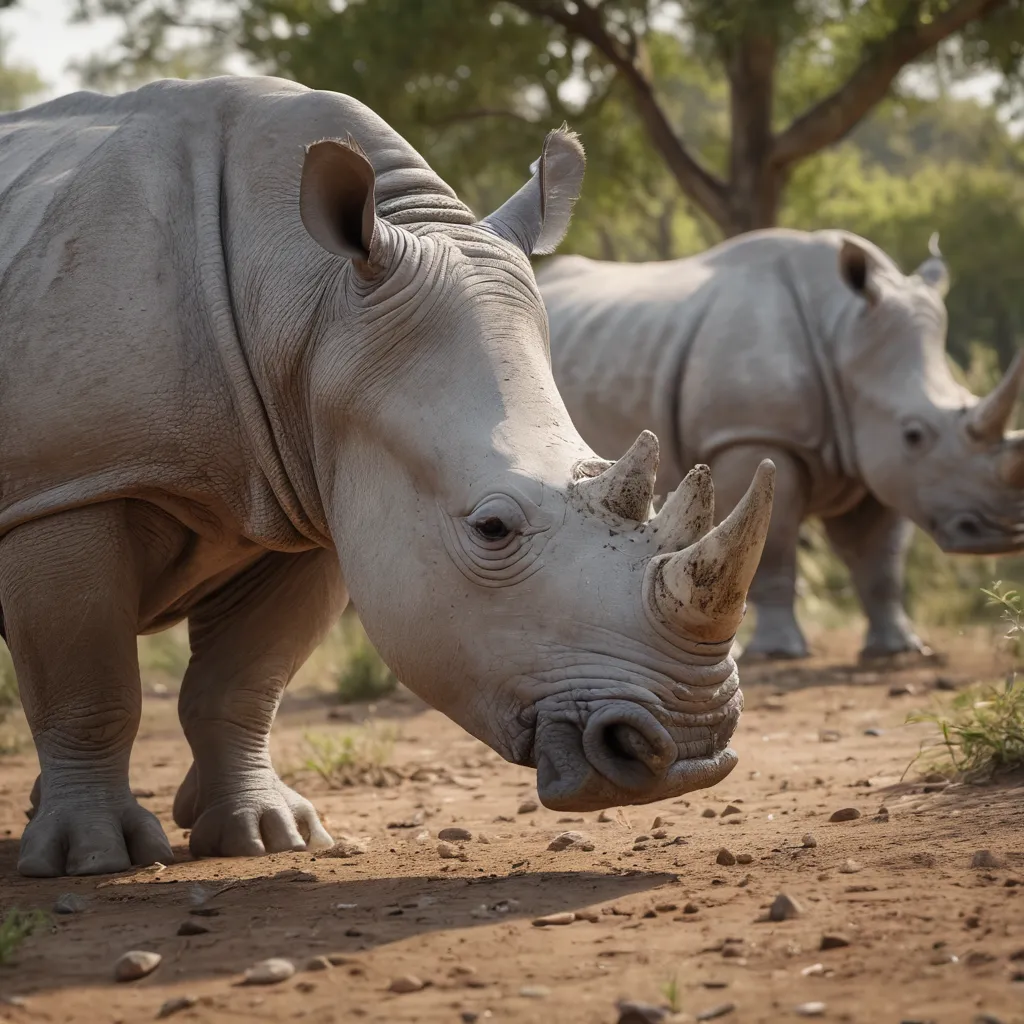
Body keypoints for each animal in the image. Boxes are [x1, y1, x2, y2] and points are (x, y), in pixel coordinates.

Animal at [0, 76, 775, 877]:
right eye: (493, 528)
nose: (691, 747)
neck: (311, 302)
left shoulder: (309, 497)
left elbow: (244, 680)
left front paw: (268, 836)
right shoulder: (68, 487)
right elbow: (89, 680)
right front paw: (93, 858)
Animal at [540, 229, 1024, 661]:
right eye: (914, 434)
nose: (1000, 533)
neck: (844, 331)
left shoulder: (872, 456)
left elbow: (879, 557)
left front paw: (898, 650)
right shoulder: (751, 435)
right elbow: (774, 547)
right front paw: (779, 652)